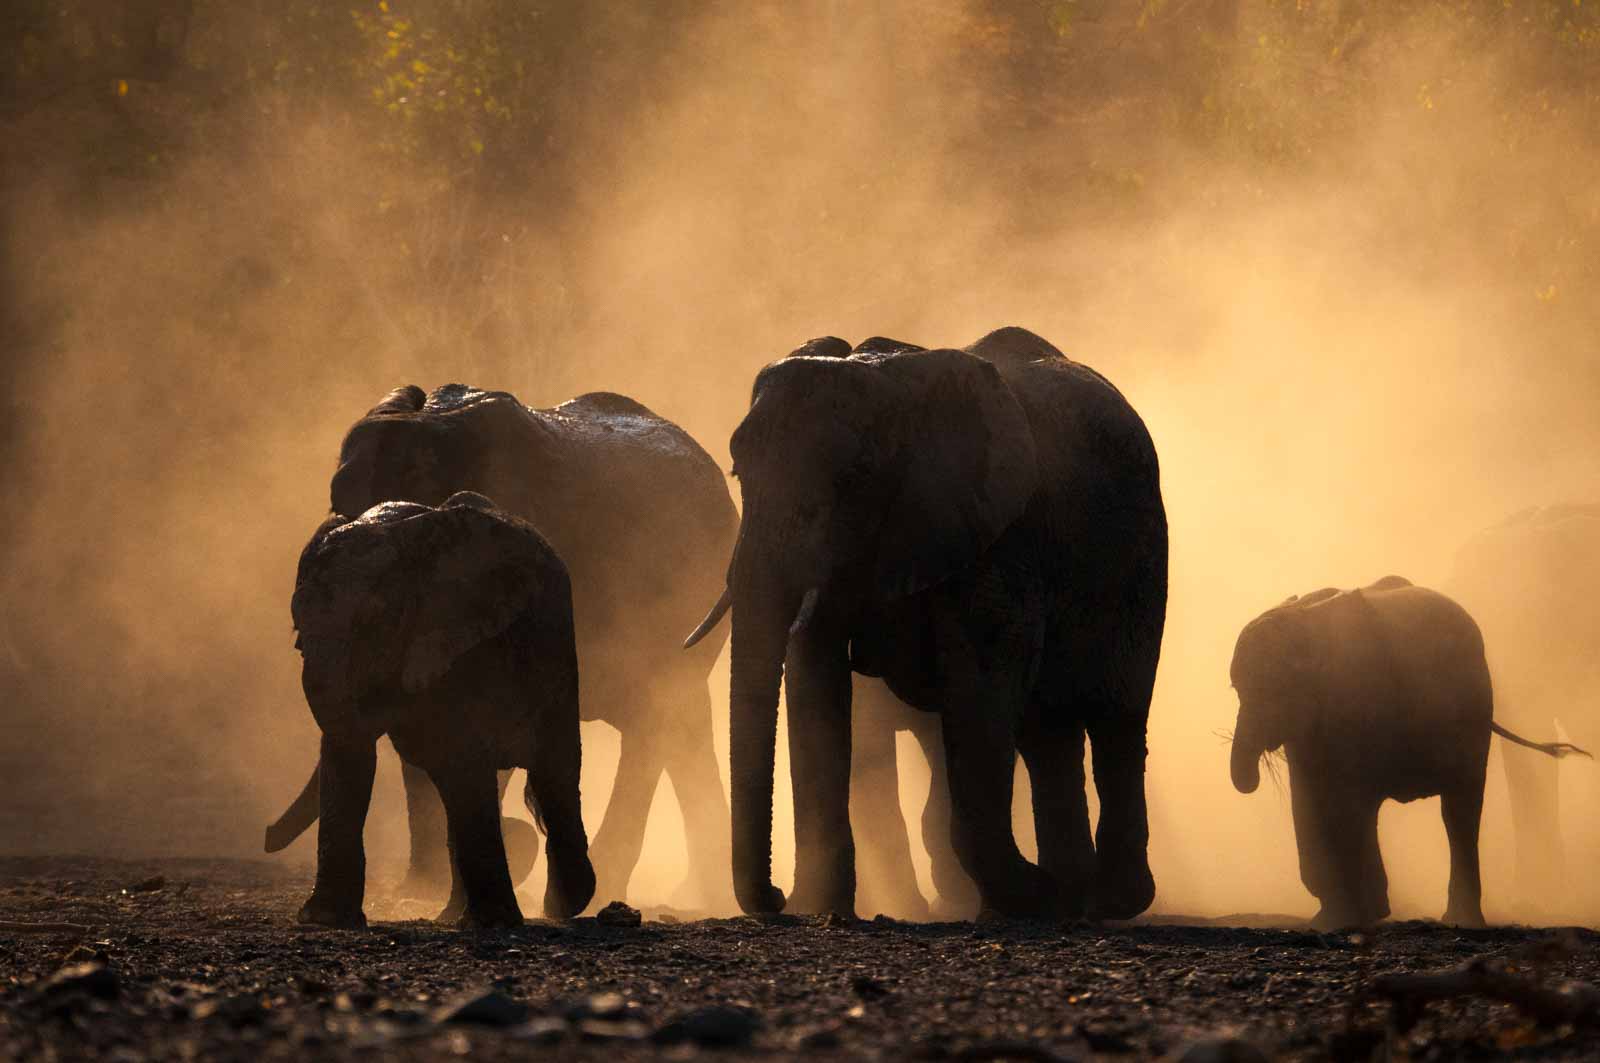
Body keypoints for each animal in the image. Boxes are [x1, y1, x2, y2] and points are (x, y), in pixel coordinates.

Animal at [288, 491, 595, 929]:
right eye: (298, 632)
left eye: (373, 623)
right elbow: (347, 753)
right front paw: (325, 919)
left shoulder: (461, 637)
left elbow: (466, 758)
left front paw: (492, 924)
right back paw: (452, 915)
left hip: (557, 651)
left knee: (553, 771)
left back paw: (563, 907)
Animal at [685, 327, 1168, 920]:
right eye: (738, 472)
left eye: (854, 479)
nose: (773, 899)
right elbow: (814, 687)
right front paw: (823, 909)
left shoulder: (996, 534)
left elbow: (981, 690)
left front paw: (1027, 897)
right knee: (1047, 735)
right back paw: (1071, 898)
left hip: (1142, 560)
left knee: (1116, 718)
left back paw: (1107, 901)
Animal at [1227, 576, 1588, 930]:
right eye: (1237, 688)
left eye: (1272, 689)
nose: (1248, 779)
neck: (1304, 619)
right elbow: (1310, 799)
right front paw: (1331, 919)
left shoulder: (1357, 701)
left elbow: (1348, 800)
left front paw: (1348, 917)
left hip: (1474, 713)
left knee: (1457, 811)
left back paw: (1461, 920)